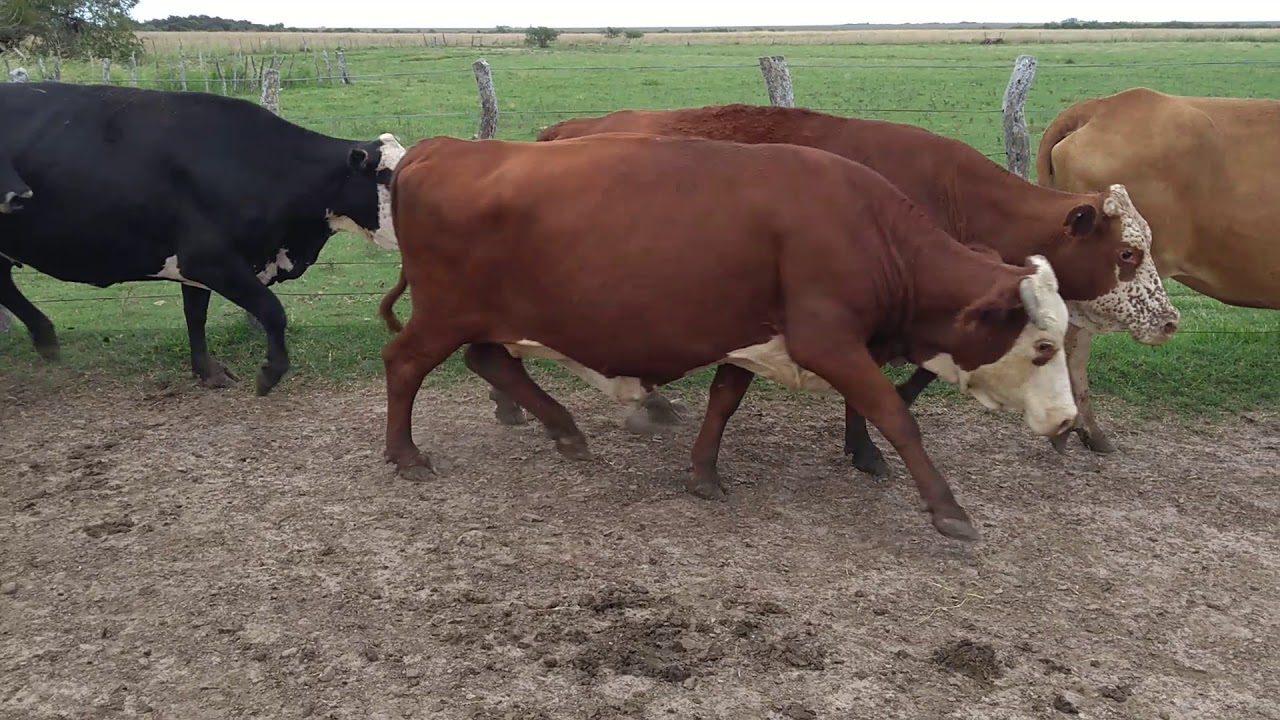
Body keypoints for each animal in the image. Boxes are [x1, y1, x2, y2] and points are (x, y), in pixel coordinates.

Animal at [0, 82, 404, 394]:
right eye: (386, 176)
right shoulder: (208, 259)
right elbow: (272, 310)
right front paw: (269, 374)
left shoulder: (197, 266)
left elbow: (195, 315)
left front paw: (207, 371)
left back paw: (45, 337)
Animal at [378, 131, 1080, 542]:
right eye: (1042, 348)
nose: (1068, 420)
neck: (866, 228)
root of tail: (438, 148)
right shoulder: (829, 343)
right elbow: (894, 416)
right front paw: (947, 507)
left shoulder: (752, 335)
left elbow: (724, 400)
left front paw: (703, 471)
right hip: (443, 312)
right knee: (405, 362)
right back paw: (406, 454)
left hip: (481, 315)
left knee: (489, 361)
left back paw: (564, 429)